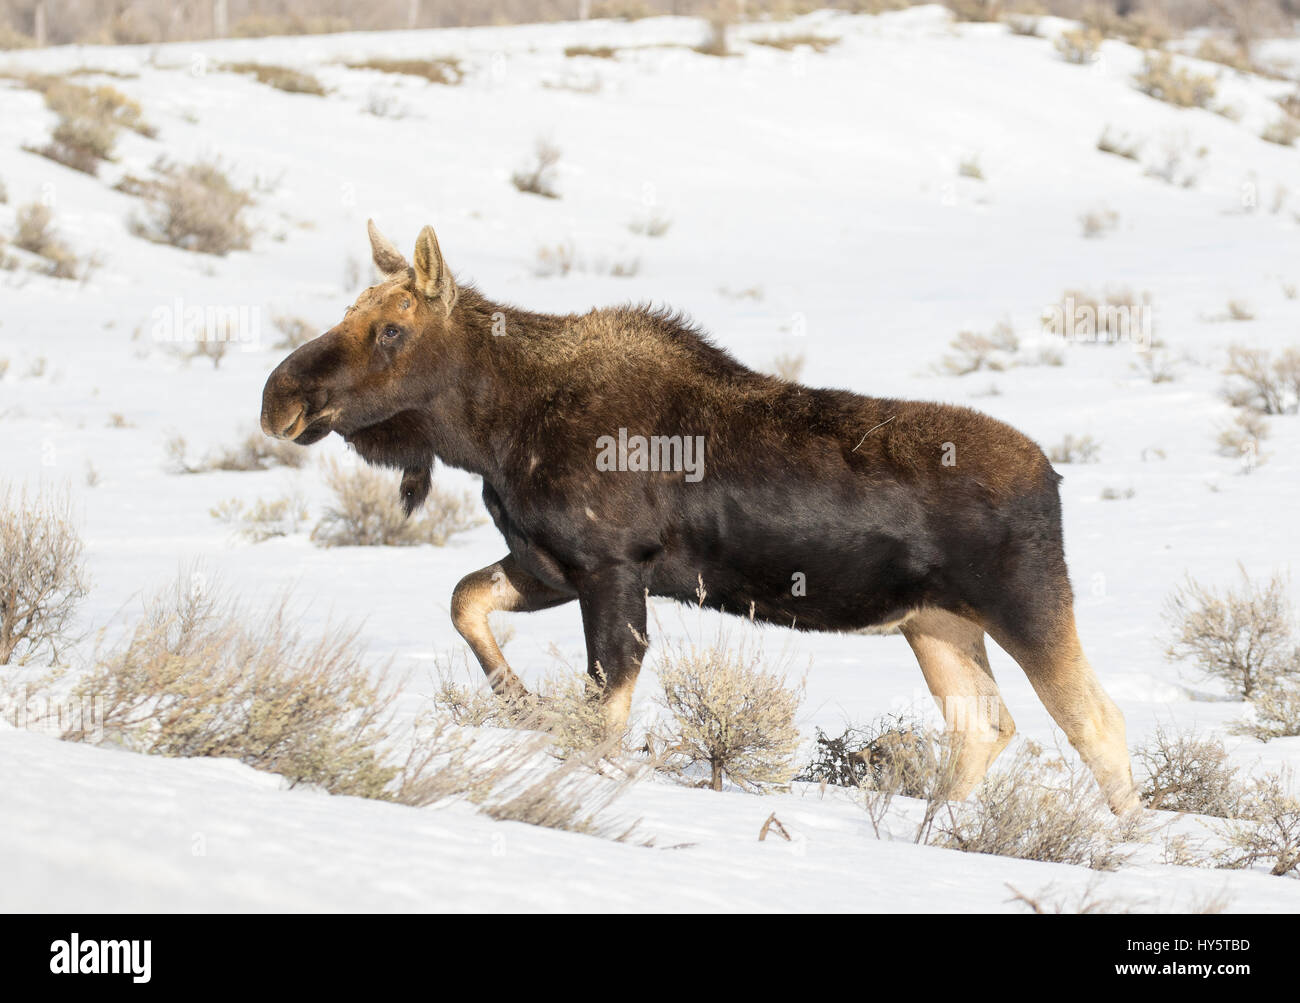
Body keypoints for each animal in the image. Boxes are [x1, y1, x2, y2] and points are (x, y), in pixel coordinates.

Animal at [260, 220, 1141, 814]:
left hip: (1026, 601)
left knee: (1097, 721)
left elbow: (605, 703)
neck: (493, 429)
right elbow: (465, 601)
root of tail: (1054, 476)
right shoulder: (548, 563)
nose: (279, 397)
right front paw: (521, 702)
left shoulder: (611, 568)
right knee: (985, 725)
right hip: (937, 623)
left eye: (391, 328)